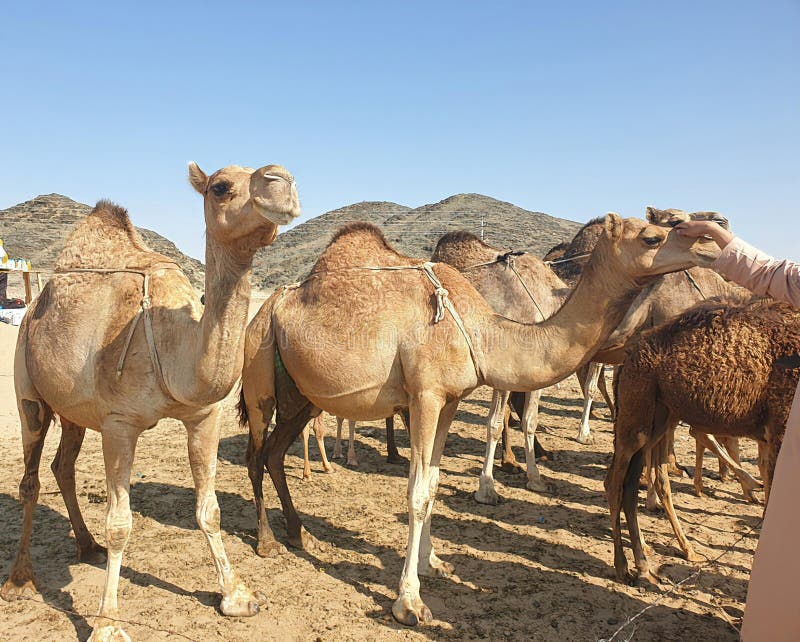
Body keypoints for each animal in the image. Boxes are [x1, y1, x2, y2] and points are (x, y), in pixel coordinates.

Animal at [1, 162, 299, 642]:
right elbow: (120, 524)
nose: (281, 181)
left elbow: (209, 510)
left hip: (75, 412)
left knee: (62, 466)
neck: (173, 342)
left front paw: (237, 596)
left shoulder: (203, 415)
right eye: (220, 187)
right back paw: (18, 580)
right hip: (28, 387)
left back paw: (86, 546)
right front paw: (107, 624)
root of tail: (31, 309)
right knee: (30, 478)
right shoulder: (120, 424)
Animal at [606, 298, 800, 584]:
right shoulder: (780, 430)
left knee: (630, 485)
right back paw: (623, 567)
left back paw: (645, 563)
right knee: (614, 483)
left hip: (658, 417)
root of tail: (625, 361)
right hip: (636, 415)